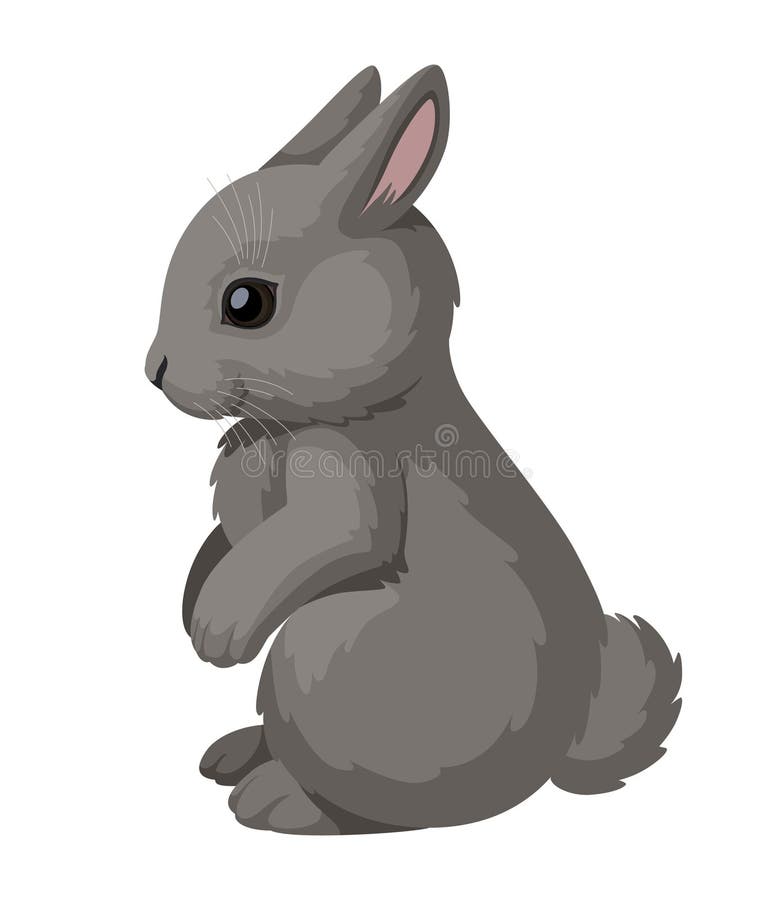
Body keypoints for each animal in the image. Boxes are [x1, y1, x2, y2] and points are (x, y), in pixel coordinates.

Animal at [145, 65, 682, 835]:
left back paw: (276, 800)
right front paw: (193, 606)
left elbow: (319, 543)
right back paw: (236, 754)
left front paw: (217, 633)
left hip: (313, 662)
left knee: (377, 813)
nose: (153, 369)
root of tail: (551, 758)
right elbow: (222, 549)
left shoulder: (346, 484)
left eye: (246, 303)